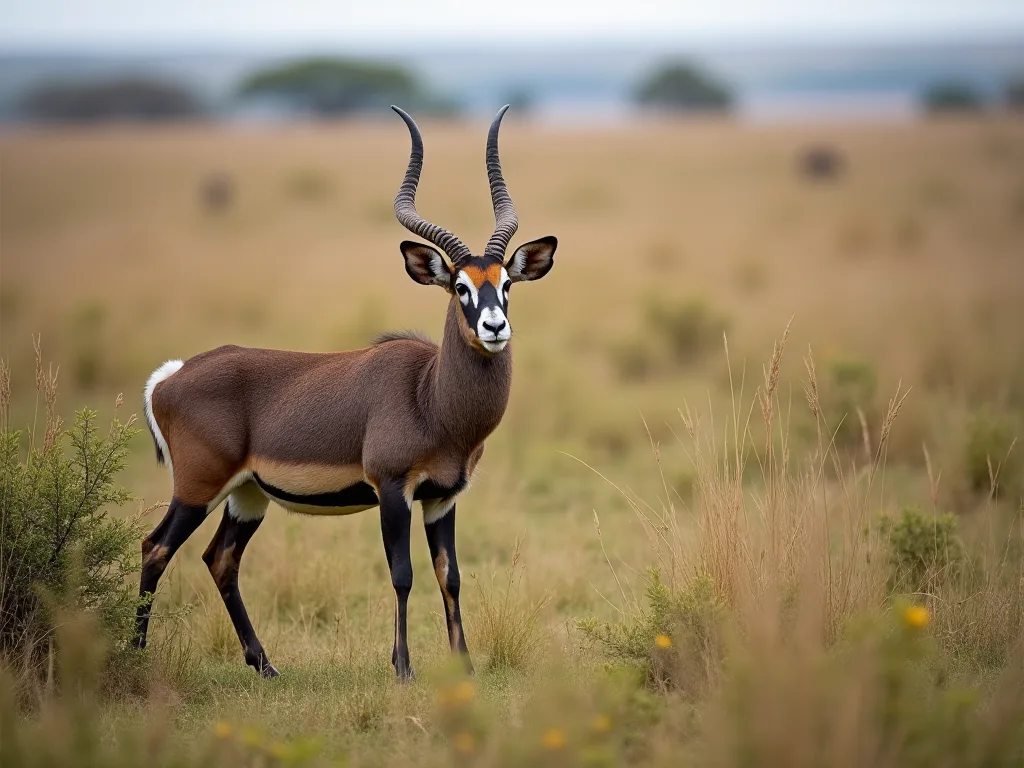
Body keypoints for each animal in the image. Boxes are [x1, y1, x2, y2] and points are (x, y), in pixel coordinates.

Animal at [135, 105, 556, 679]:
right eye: (459, 286)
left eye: (506, 284)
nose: (494, 327)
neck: (430, 396)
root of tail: (171, 376)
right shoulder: (394, 491)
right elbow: (402, 574)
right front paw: (403, 669)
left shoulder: (441, 499)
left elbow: (449, 575)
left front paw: (464, 667)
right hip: (198, 490)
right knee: (155, 549)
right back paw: (133, 658)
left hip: (247, 496)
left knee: (220, 559)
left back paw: (265, 666)